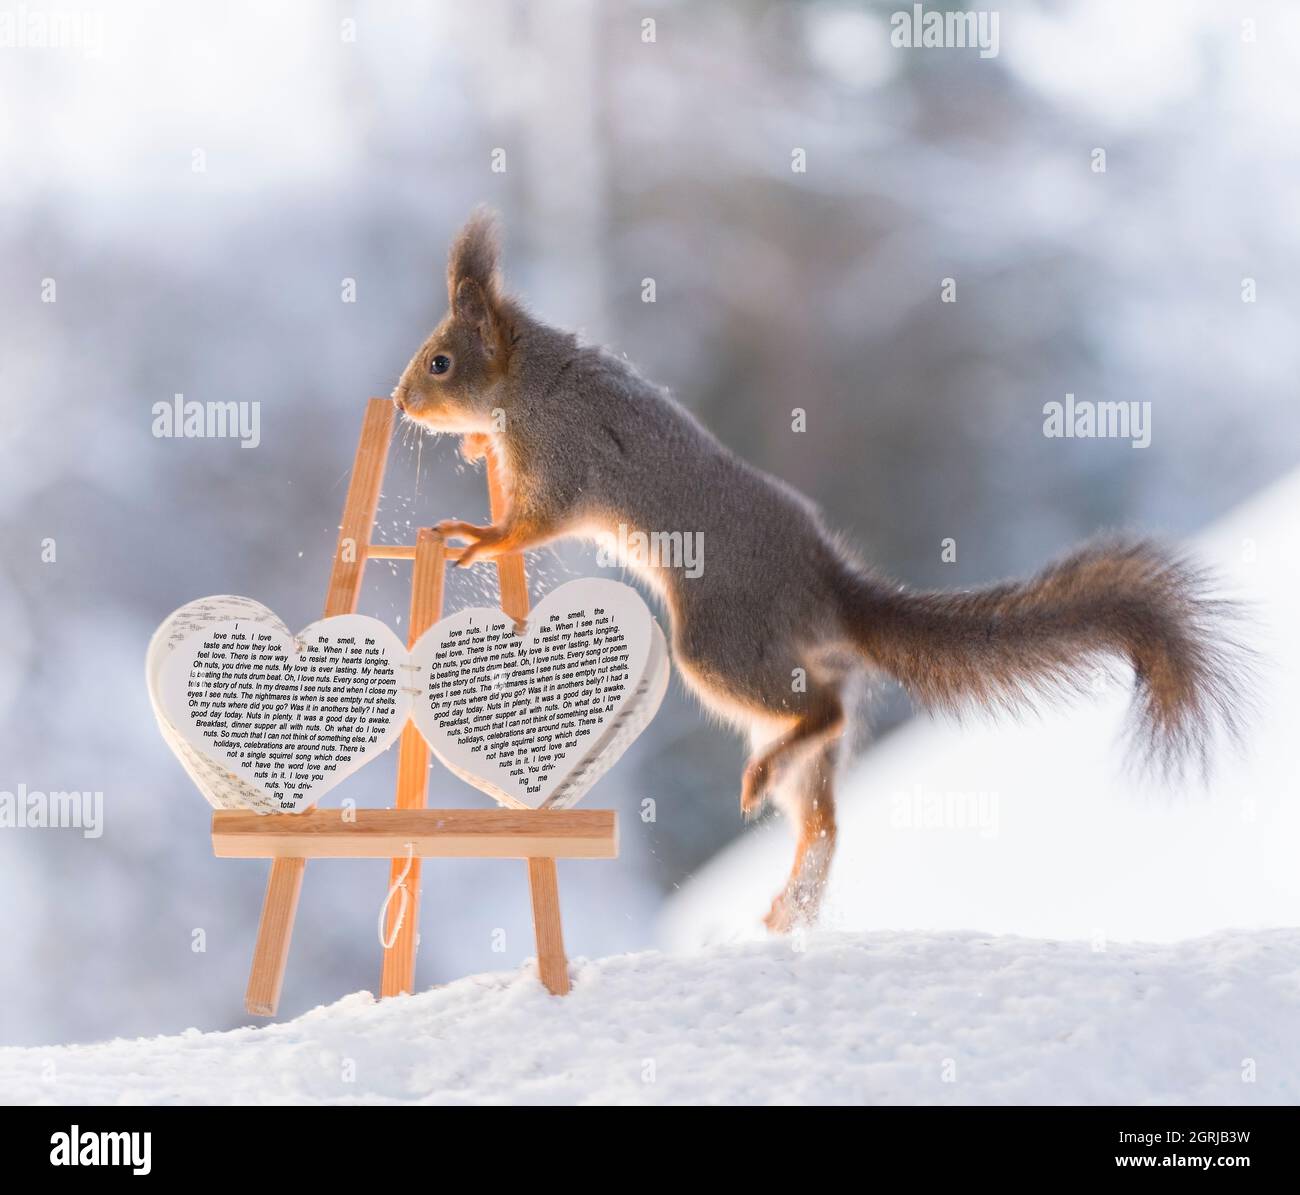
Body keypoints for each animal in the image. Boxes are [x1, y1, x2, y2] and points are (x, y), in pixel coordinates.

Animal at [393, 209, 1247, 933]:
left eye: (440, 361)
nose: (400, 402)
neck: (531, 378)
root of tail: (828, 587)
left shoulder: (565, 458)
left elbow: (531, 525)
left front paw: (478, 534)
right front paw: (475, 450)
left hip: (722, 644)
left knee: (825, 716)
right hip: (790, 671)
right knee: (825, 802)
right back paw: (789, 895)